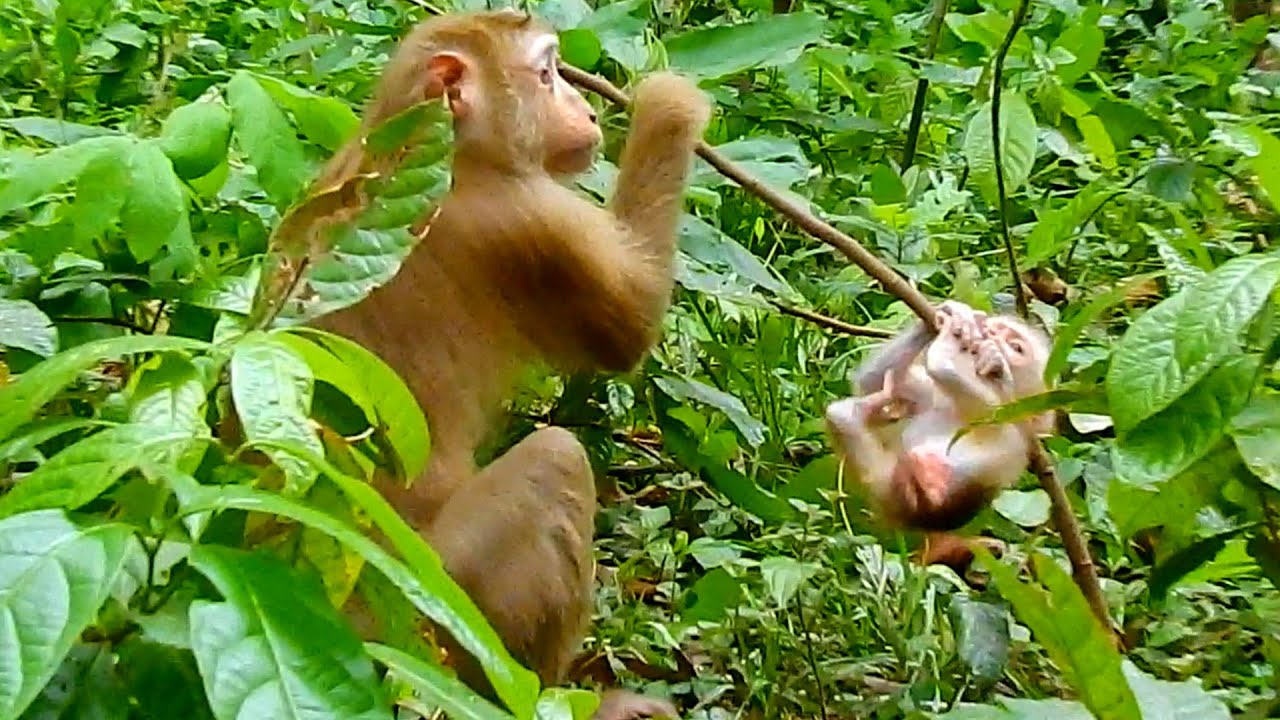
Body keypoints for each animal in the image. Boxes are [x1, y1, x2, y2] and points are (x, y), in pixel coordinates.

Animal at [308, 10, 709, 719]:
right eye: (547, 74)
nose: (585, 109)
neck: (421, 138)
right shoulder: (530, 220)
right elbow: (628, 331)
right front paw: (668, 101)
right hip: (438, 603)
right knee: (556, 459)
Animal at [824, 301, 1052, 533]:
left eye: (1016, 347)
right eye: (996, 328)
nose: (990, 332)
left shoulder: (1022, 418)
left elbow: (998, 411)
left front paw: (995, 364)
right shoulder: (929, 394)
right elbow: (870, 383)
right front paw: (947, 313)